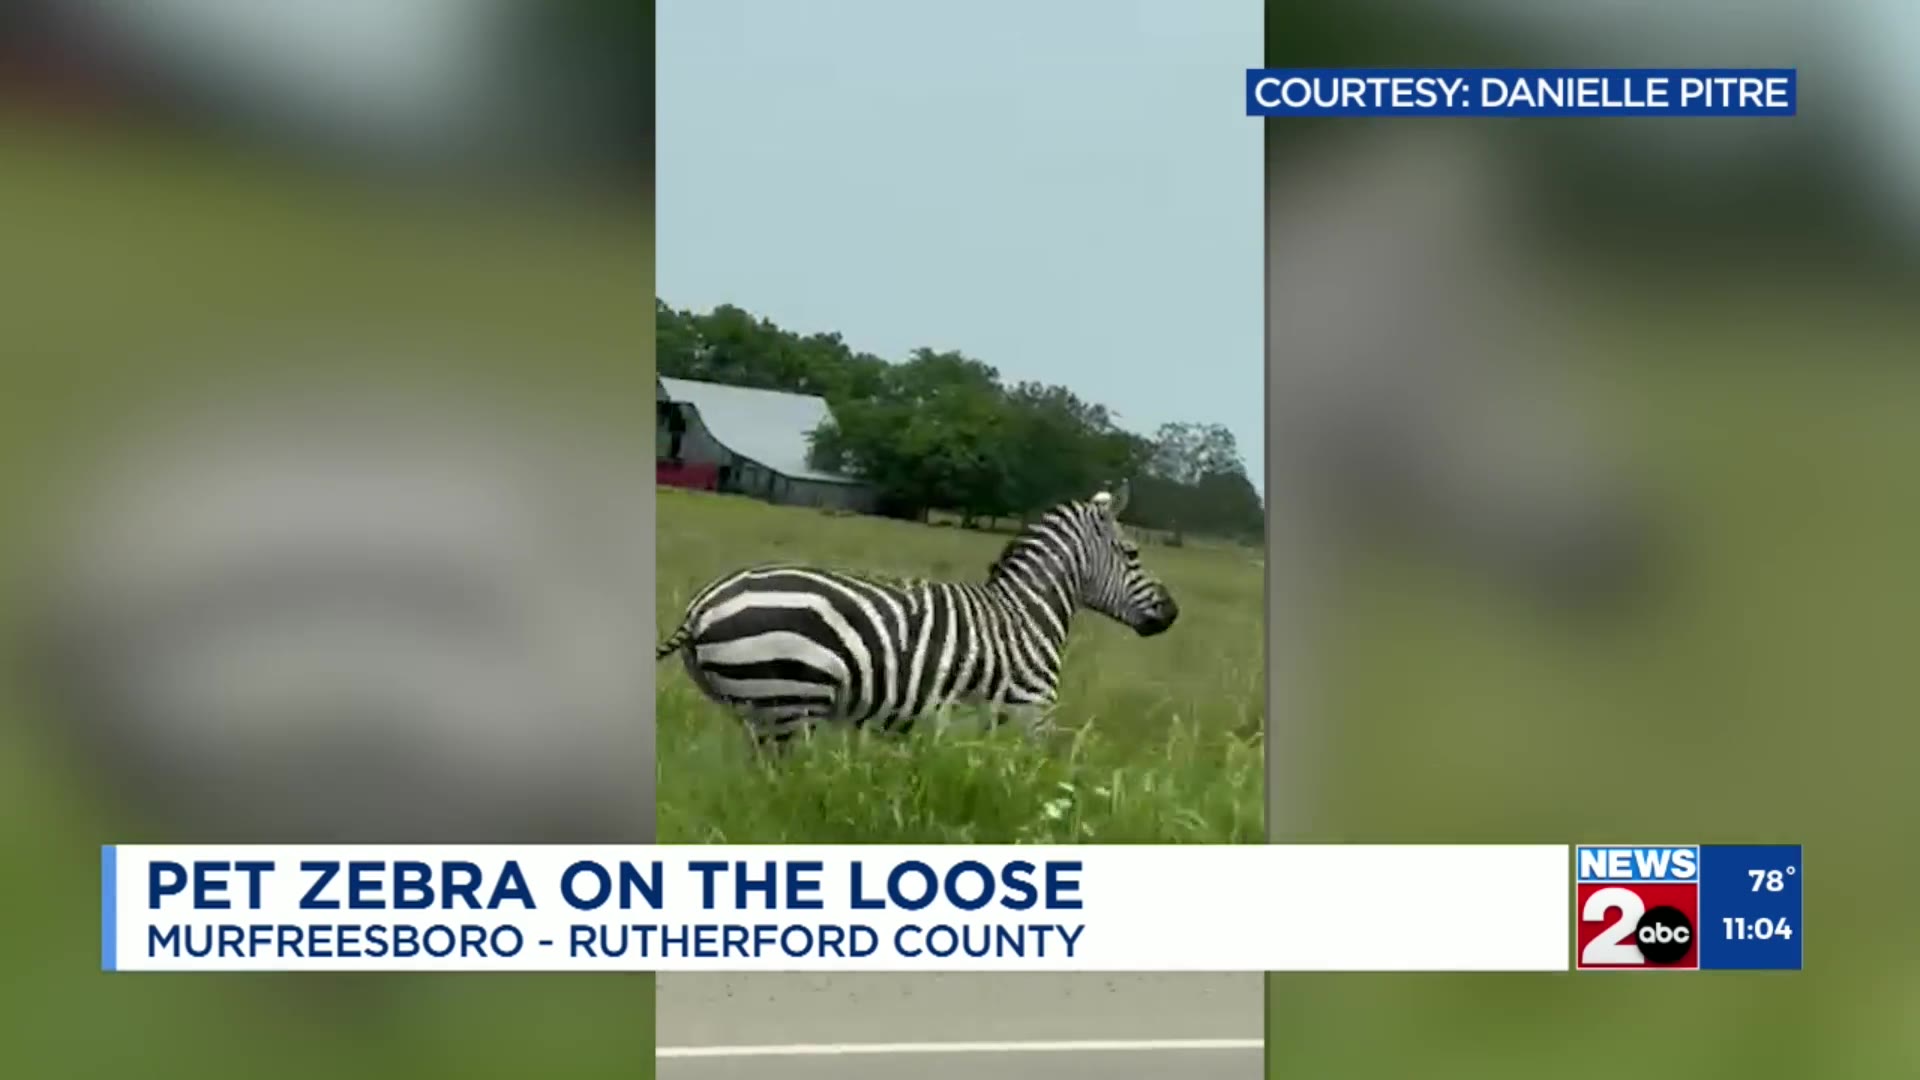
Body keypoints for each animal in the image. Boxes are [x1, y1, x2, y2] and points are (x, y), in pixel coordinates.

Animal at [655, 485, 1179, 748]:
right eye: (1132, 553)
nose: (1171, 614)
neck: (1025, 614)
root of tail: (703, 604)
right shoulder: (1028, 715)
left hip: (755, 710)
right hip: (788, 703)